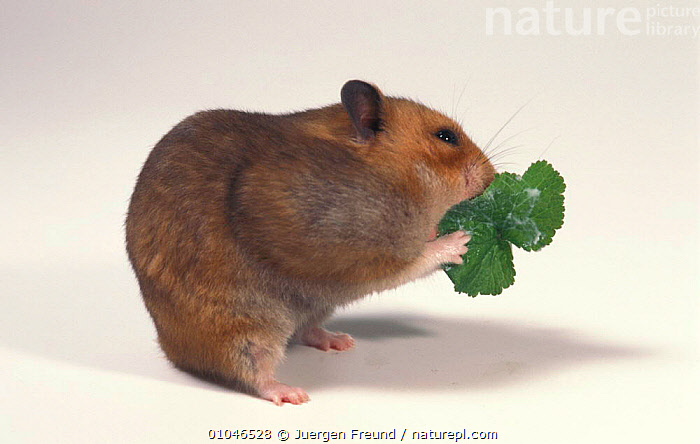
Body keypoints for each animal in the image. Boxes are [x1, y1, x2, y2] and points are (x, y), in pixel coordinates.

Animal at [125, 80, 495, 405]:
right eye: (445, 136)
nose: (492, 177)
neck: (386, 173)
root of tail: (170, 349)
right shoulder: (348, 251)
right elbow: (412, 260)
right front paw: (460, 240)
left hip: (312, 307)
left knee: (304, 331)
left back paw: (340, 341)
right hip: (243, 329)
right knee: (251, 371)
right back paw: (292, 394)